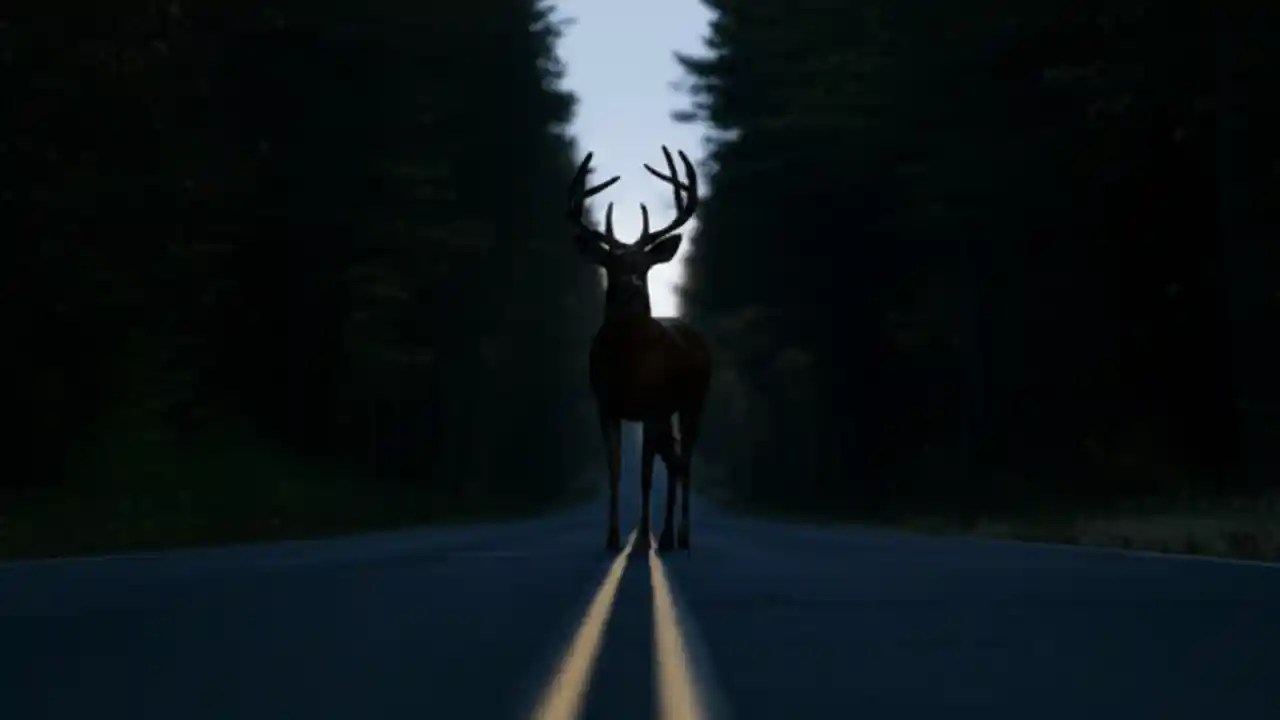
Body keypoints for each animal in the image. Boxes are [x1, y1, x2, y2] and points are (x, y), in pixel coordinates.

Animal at [567, 146, 712, 553]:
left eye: (644, 264)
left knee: (685, 459)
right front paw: (614, 537)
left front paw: (644, 539)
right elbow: (616, 469)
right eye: (610, 263)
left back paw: (680, 535)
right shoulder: (606, 405)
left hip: (693, 401)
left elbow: (646, 474)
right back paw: (668, 534)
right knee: (674, 458)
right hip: (669, 411)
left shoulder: (650, 406)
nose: (630, 285)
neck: (627, 363)